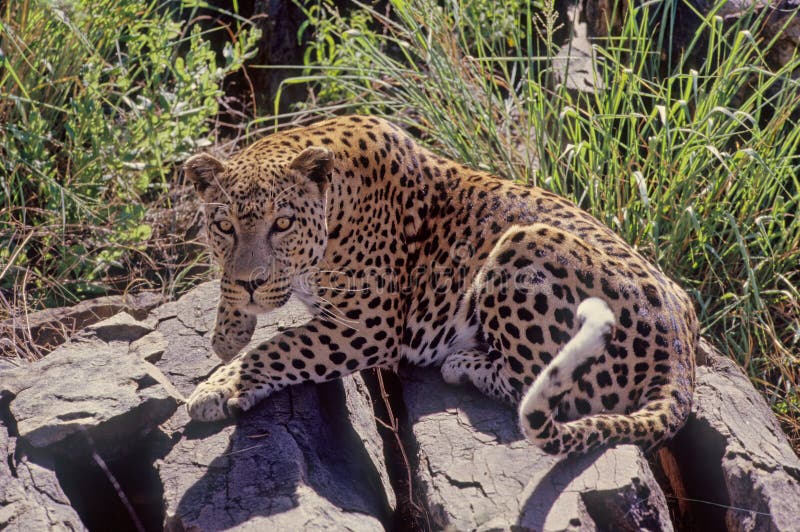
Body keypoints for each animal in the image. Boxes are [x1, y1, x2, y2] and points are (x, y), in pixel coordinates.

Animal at [183, 115, 697, 456]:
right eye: (224, 227)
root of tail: (679, 354)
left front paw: (218, 387)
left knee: (542, 387)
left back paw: (464, 363)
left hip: (524, 243)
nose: (251, 283)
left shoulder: (367, 325)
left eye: (283, 224)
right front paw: (228, 330)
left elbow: (282, 347)